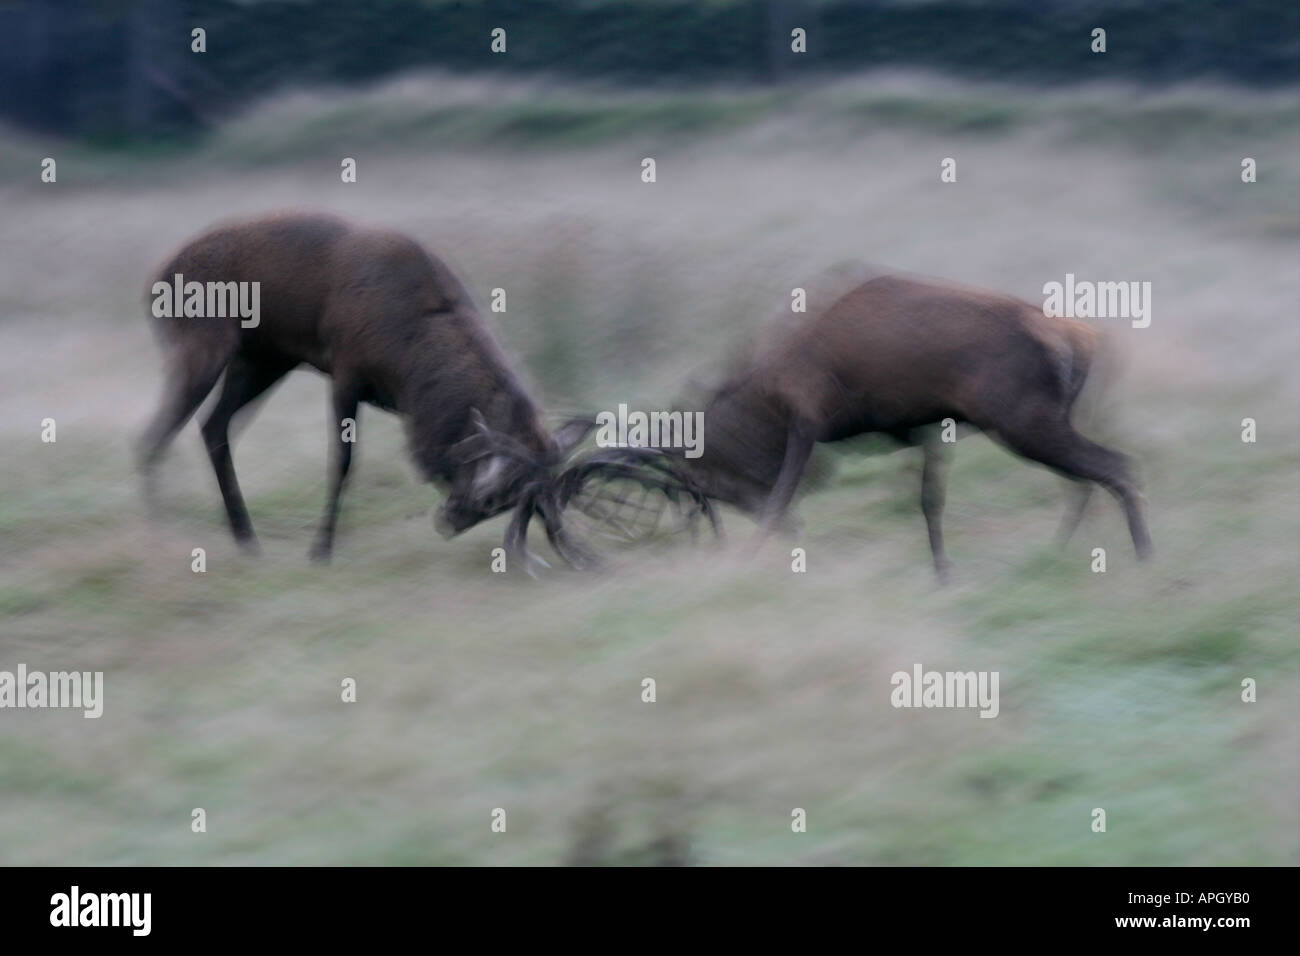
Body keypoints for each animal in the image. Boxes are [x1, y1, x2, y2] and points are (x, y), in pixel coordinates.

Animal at [137, 211, 602, 565]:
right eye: (490, 495)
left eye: (507, 502)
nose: (450, 518)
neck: (409, 364)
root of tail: (156, 278)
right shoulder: (346, 369)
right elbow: (342, 464)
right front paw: (321, 549)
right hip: (202, 346)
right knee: (152, 437)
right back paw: (158, 533)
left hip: (263, 359)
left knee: (213, 426)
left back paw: (245, 538)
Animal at [663, 272, 1152, 581]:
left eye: (708, 482)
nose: (705, 536)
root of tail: (1085, 341)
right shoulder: (930, 427)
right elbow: (929, 502)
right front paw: (943, 572)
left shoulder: (807, 421)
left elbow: (780, 497)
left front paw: (745, 561)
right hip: (1048, 422)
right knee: (1088, 479)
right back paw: (1060, 551)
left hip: (1025, 423)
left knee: (1115, 466)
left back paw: (1144, 556)